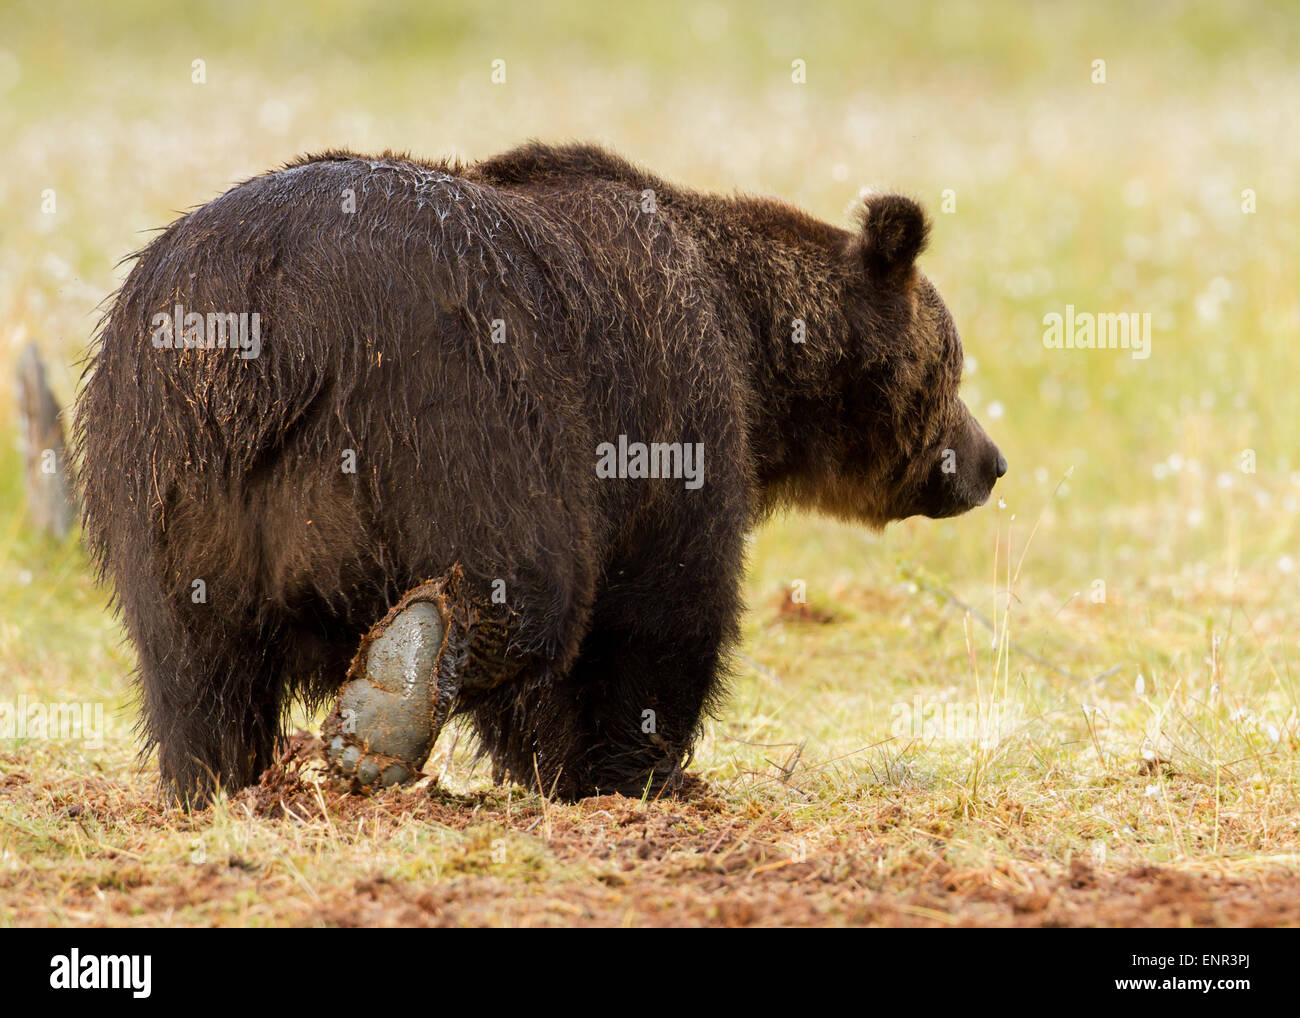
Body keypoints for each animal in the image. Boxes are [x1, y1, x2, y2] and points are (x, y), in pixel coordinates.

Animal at [74, 141, 1005, 805]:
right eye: (953, 368)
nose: (990, 462)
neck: (754, 346)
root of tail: (269, 318)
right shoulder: (665, 410)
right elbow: (656, 615)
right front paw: (636, 770)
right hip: (460, 400)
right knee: (525, 582)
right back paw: (388, 702)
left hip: (158, 460)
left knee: (192, 667)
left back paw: (219, 775)